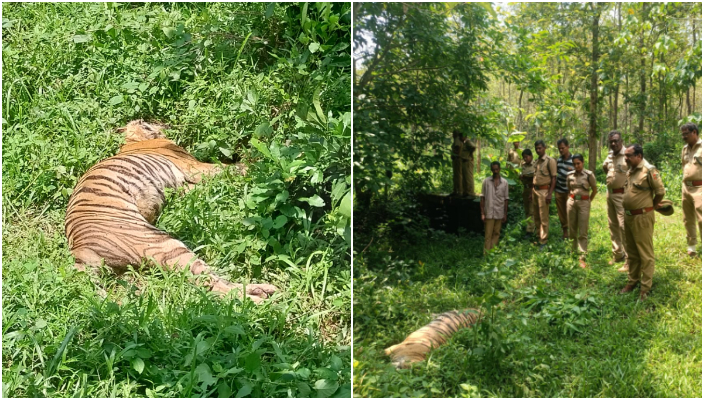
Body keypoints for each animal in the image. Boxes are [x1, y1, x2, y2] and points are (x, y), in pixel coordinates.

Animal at [64, 120, 277, 303]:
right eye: (144, 121)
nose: (161, 123)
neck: (133, 140)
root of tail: (78, 249)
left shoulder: (184, 186)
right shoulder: (194, 167)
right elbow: (230, 168)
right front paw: (260, 165)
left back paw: (263, 290)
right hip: (165, 245)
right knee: (208, 283)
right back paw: (259, 301)